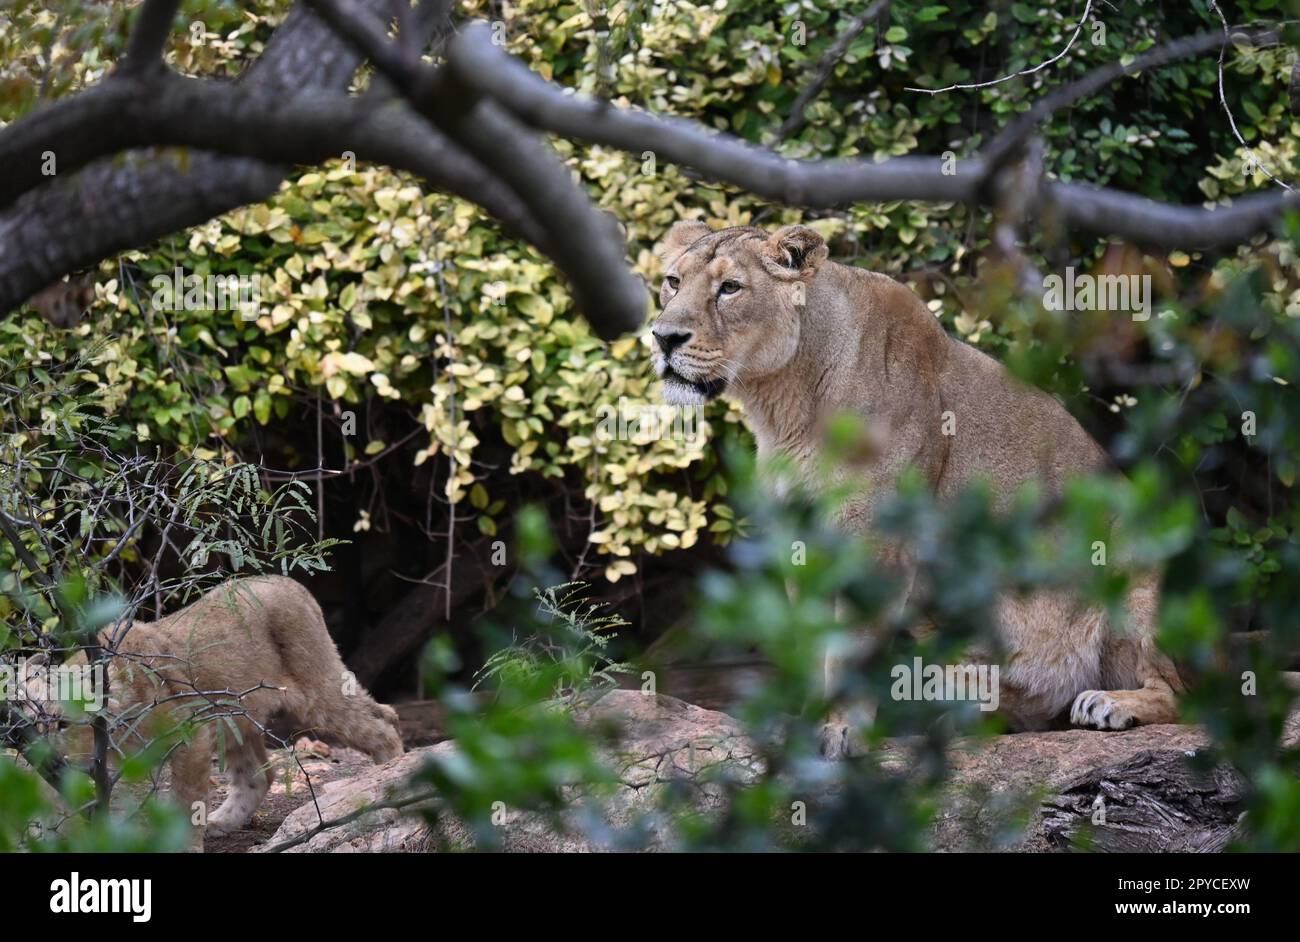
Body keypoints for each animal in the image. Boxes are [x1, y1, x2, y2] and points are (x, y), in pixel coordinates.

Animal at [21, 575, 402, 849]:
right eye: (24, 724)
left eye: (62, 723)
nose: (37, 756)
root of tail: (291, 583)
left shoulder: (191, 736)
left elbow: (185, 803)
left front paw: (185, 846)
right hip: (234, 718)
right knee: (258, 776)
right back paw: (222, 821)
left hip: (317, 689)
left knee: (383, 720)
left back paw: (391, 780)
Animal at [650, 220, 1186, 757]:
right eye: (673, 282)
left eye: (730, 288)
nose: (663, 337)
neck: (784, 406)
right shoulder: (802, 538)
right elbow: (810, 642)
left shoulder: (876, 540)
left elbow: (849, 649)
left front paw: (841, 730)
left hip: (1134, 570)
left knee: (1178, 694)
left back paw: (1107, 703)